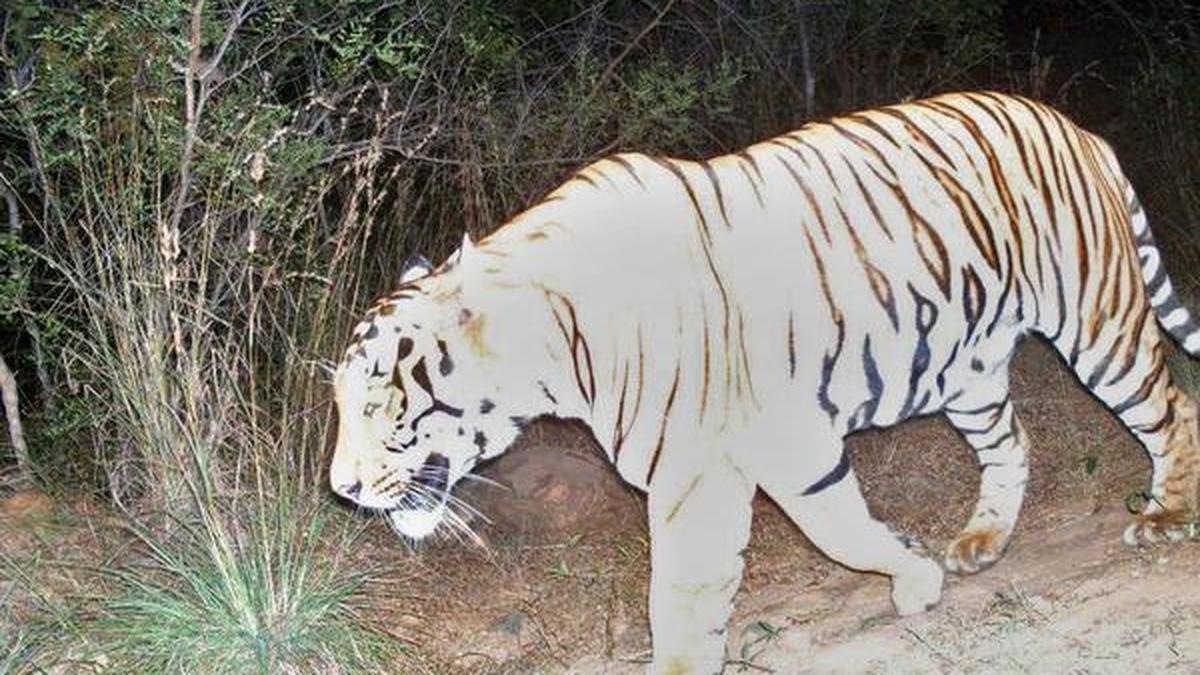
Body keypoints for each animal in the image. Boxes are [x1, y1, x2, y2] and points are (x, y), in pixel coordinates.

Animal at [329, 91, 1200, 674]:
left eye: (377, 404)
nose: (341, 487)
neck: (551, 350)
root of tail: (1078, 127)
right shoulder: (784, 445)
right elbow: (844, 527)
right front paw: (915, 571)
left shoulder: (699, 473)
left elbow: (689, 592)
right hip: (968, 370)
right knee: (1012, 442)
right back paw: (980, 541)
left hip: (1096, 321)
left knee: (1173, 407)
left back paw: (1166, 517)